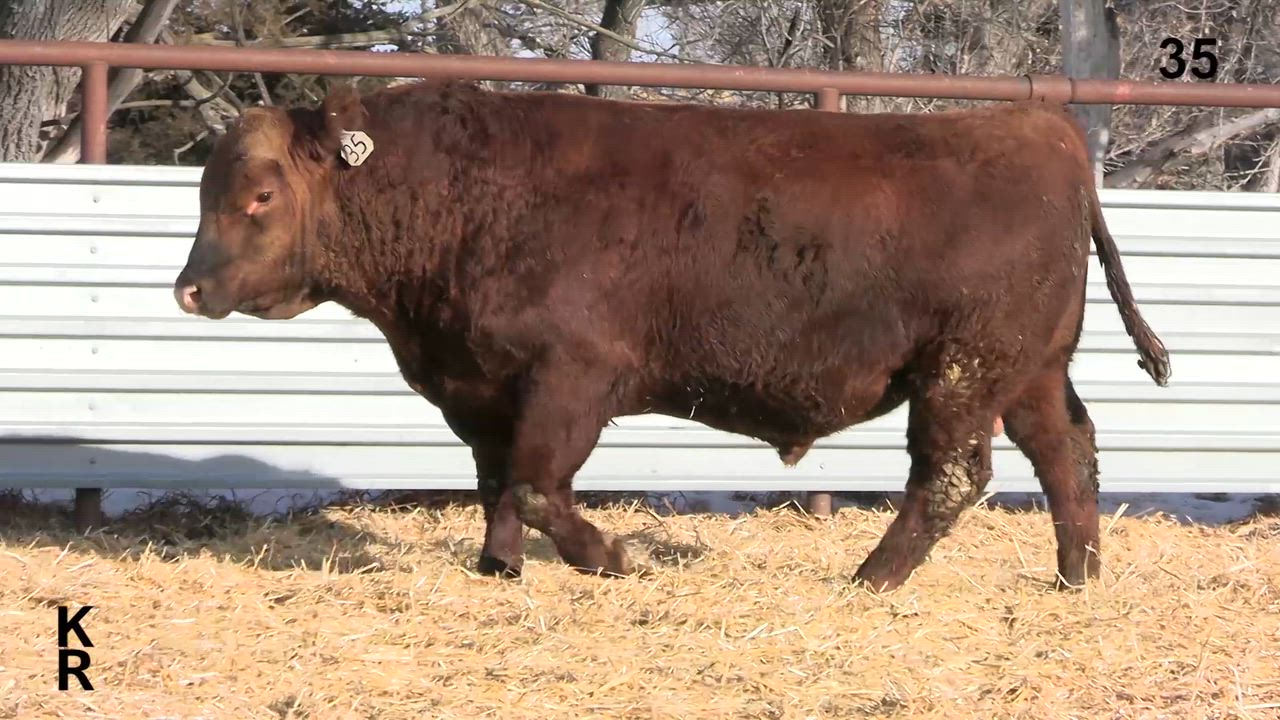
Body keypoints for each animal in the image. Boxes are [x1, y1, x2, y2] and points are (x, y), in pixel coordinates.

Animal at [172, 79, 1170, 593]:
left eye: (259, 195)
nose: (188, 289)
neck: (460, 190)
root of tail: (1036, 125)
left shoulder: (572, 377)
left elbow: (536, 485)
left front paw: (608, 556)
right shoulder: (483, 388)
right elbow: (499, 482)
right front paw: (499, 567)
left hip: (960, 375)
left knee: (953, 475)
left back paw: (873, 577)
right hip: (1028, 372)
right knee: (1068, 455)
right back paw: (1078, 575)